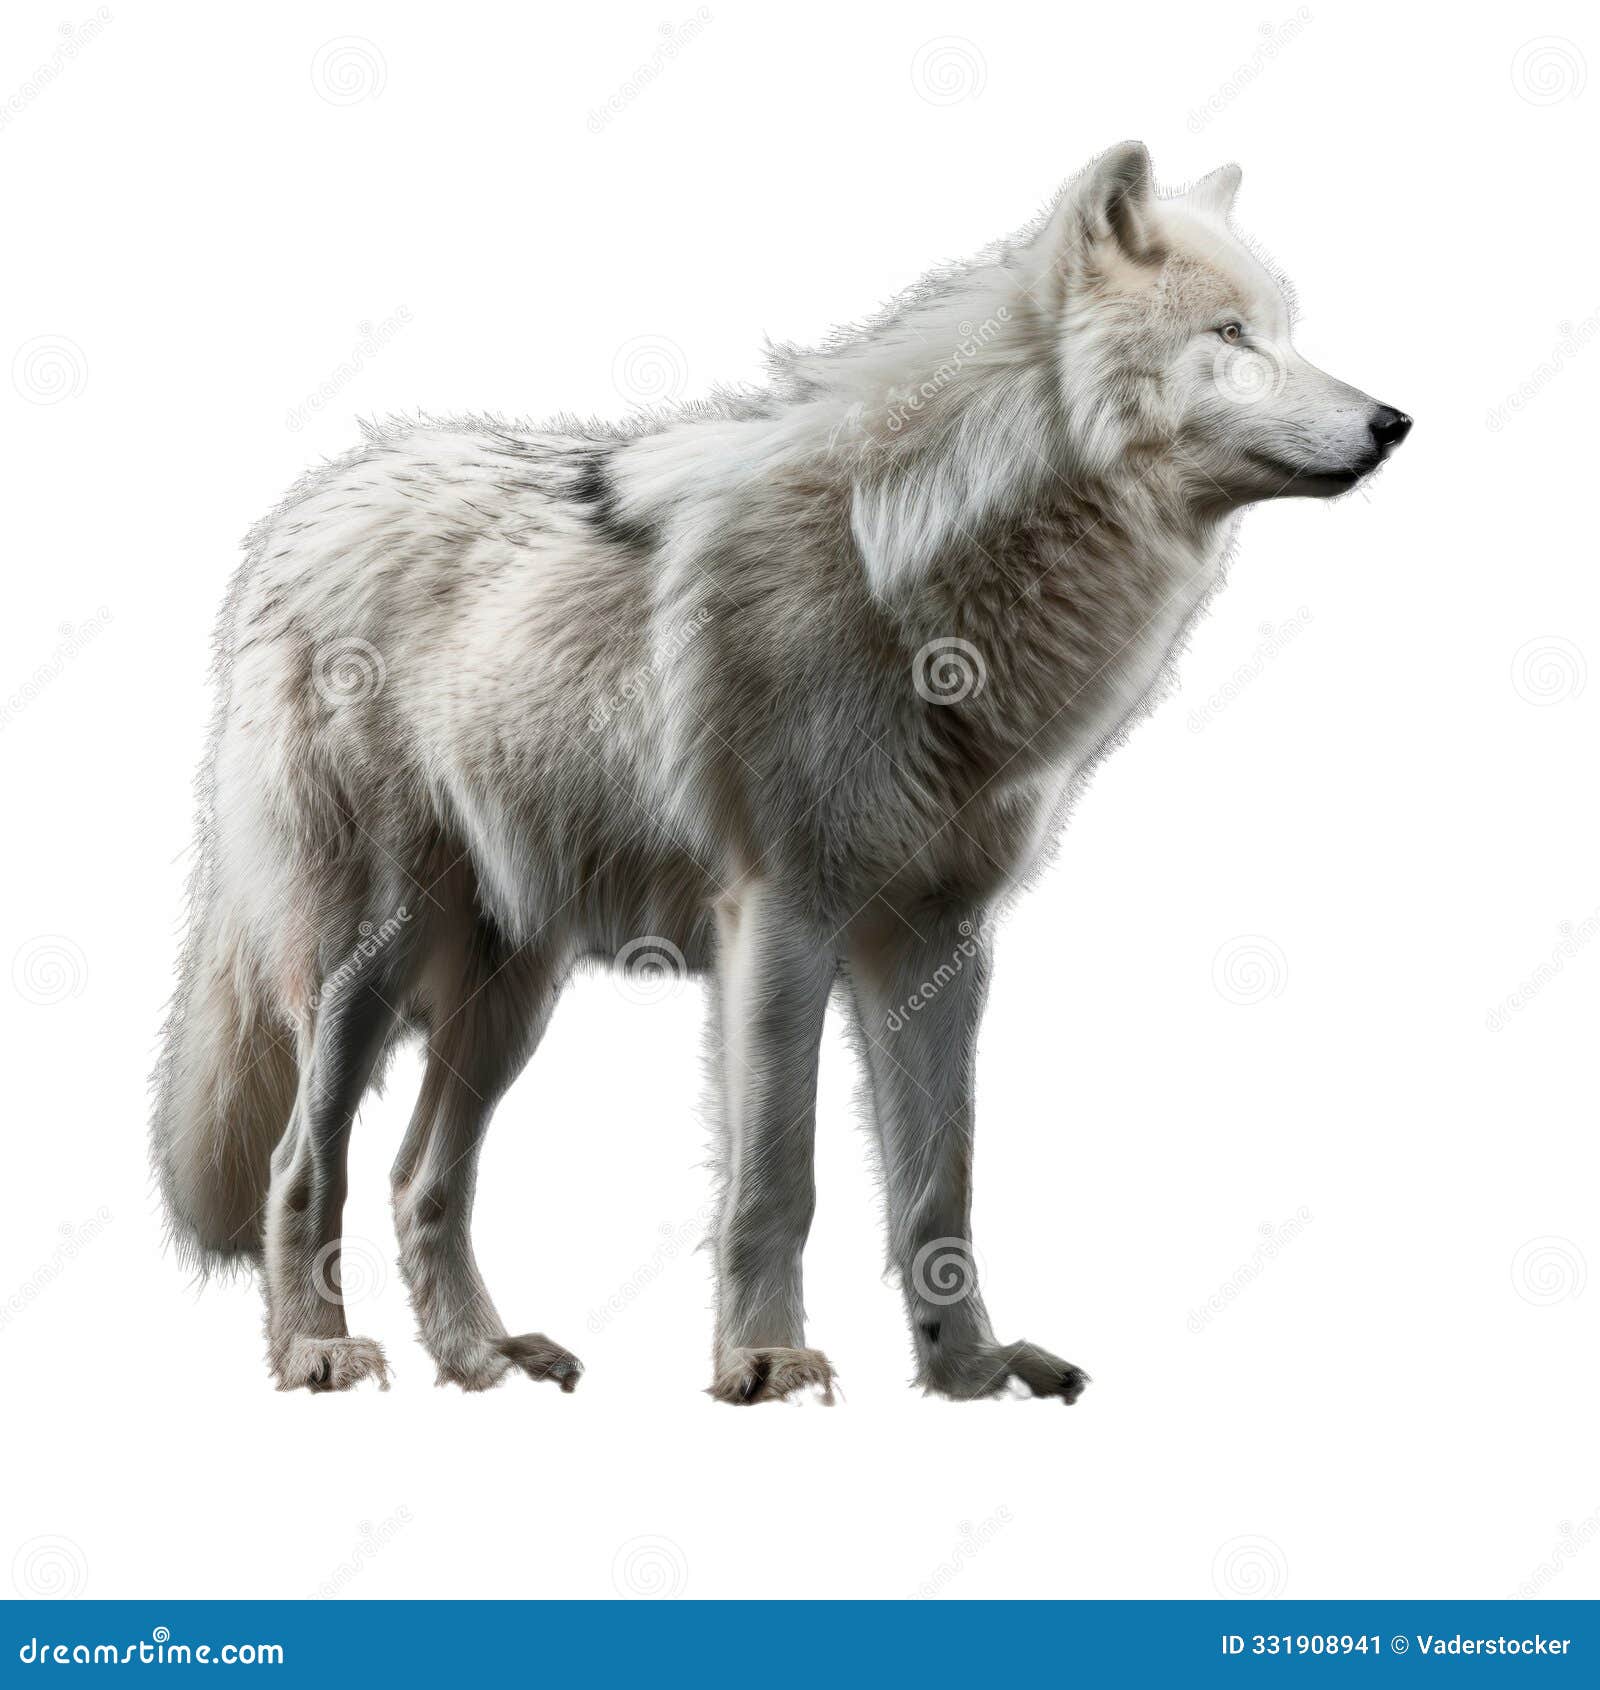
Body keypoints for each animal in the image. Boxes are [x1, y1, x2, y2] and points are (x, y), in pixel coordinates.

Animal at [152, 143, 1409, 1400]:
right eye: (1232, 334)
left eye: (1285, 331)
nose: (1393, 420)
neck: (922, 575)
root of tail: (303, 511)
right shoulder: (782, 914)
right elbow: (777, 1178)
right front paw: (762, 1357)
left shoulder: (937, 937)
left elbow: (938, 1188)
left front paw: (966, 1368)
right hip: (369, 951)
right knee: (300, 1161)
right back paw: (316, 1348)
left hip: (512, 988)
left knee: (423, 1175)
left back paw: (480, 1357)